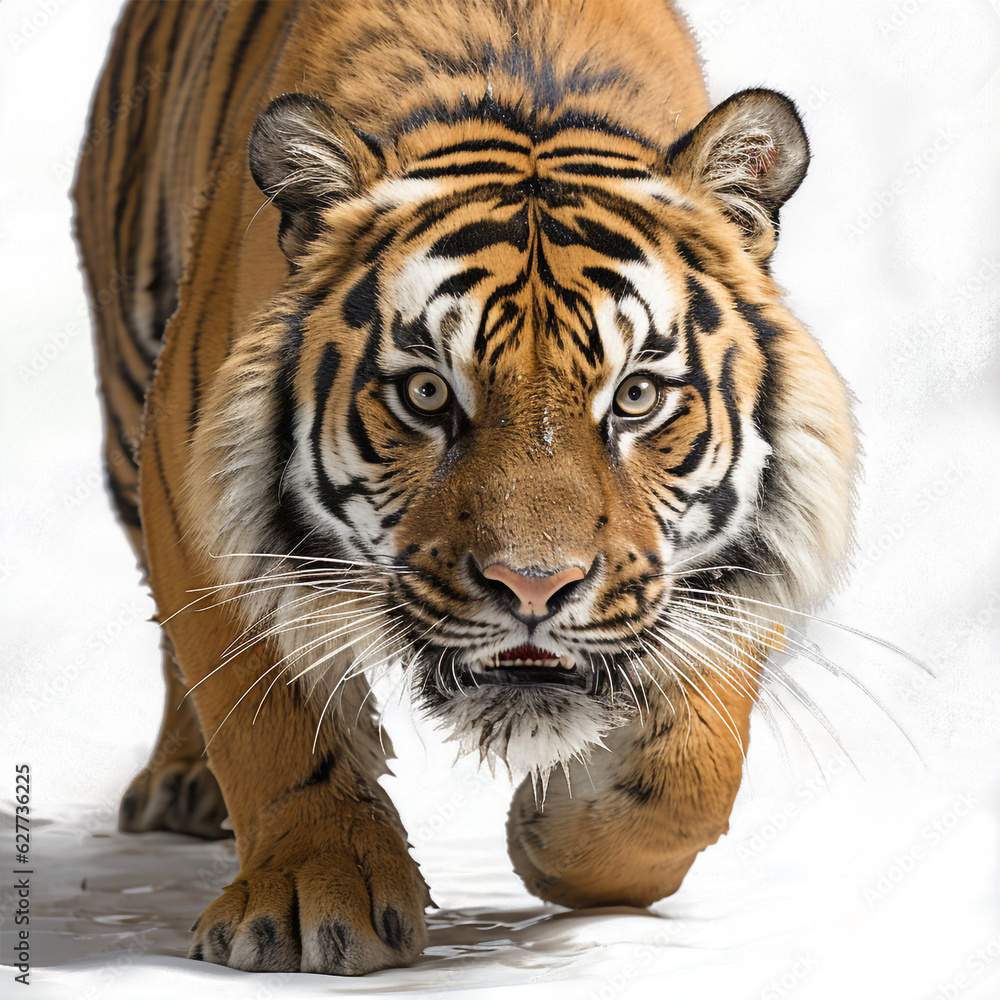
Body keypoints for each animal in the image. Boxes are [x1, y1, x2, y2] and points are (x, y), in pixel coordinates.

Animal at [73, 0, 856, 977]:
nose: (534, 587)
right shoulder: (192, 486)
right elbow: (270, 713)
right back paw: (183, 783)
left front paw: (558, 835)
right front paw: (311, 892)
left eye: (636, 396)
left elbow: (691, 771)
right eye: (426, 394)